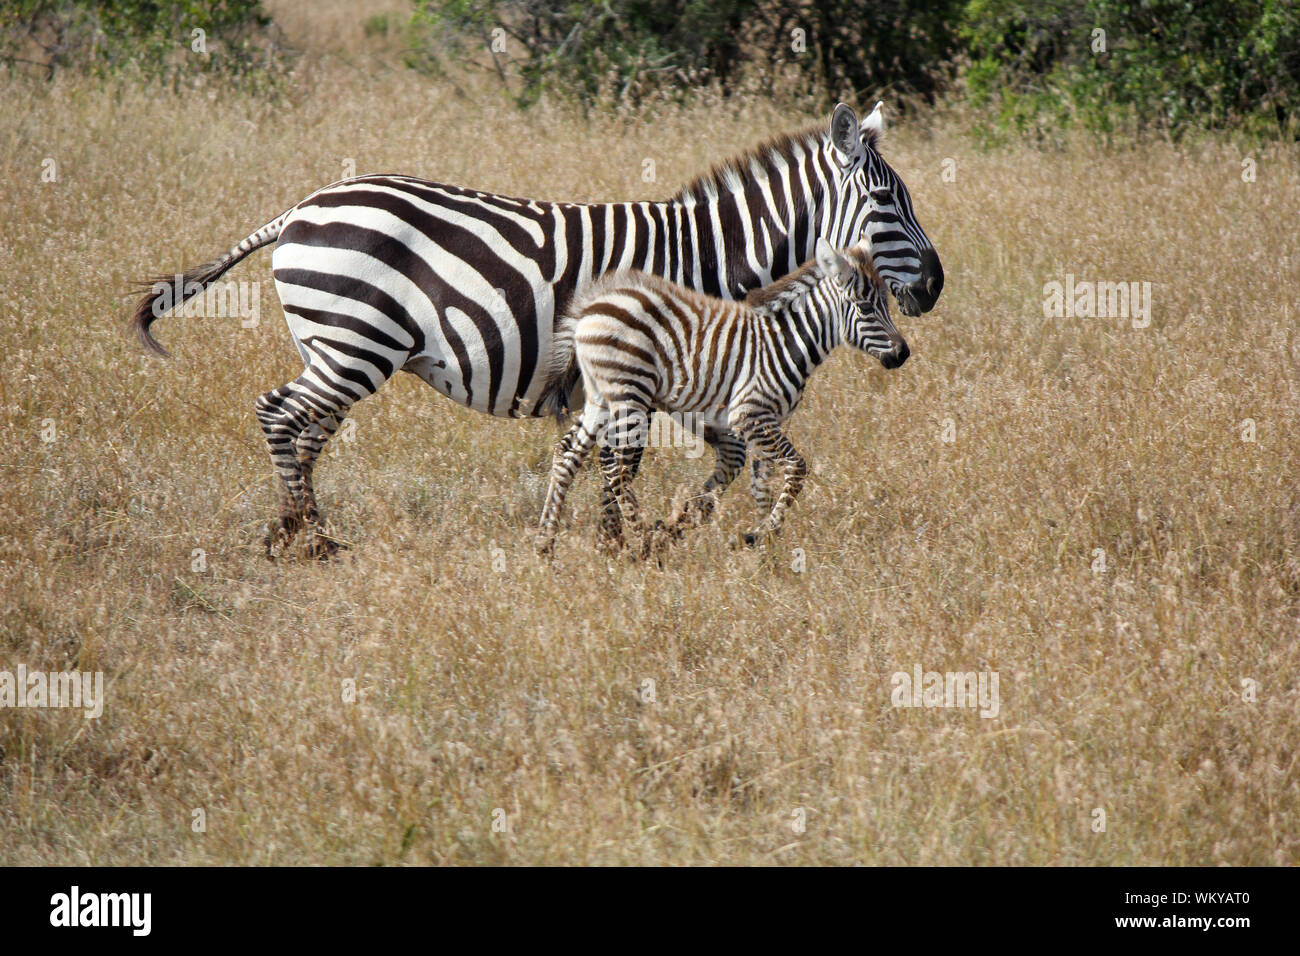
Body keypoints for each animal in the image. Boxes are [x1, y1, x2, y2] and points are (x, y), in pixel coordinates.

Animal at [533, 236, 908, 555]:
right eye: (865, 307)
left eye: (887, 304)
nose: (903, 354)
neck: (788, 341)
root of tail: (590, 305)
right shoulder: (751, 413)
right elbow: (797, 468)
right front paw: (765, 533)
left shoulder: (767, 421)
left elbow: (760, 485)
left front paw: (765, 545)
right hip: (629, 393)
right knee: (618, 469)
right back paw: (641, 542)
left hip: (600, 395)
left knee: (568, 454)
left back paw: (546, 543)